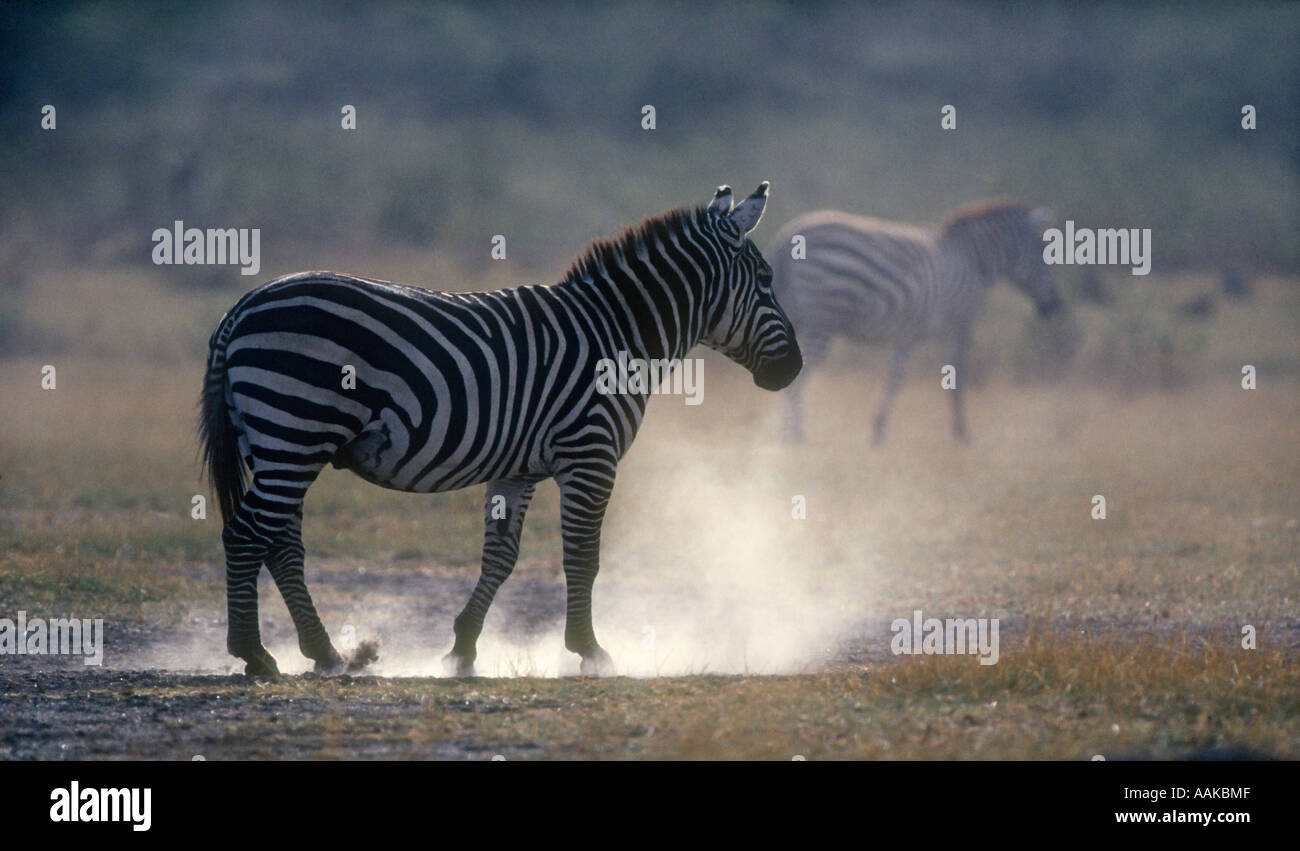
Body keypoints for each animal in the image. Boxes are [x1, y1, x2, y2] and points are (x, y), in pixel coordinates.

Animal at [198, 182, 801, 678]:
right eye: (768, 281)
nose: (792, 369)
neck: (617, 333)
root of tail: (241, 307)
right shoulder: (590, 453)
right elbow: (583, 554)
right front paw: (589, 650)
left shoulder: (519, 468)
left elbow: (502, 557)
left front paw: (462, 648)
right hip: (294, 429)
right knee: (246, 534)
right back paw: (255, 654)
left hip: (276, 443)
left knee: (281, 544)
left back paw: (323, 652)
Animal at [770, 201, 1061, 443]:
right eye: (1046, 255)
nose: (1056, 308)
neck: (974, 260)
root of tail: (787, 236)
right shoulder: (962, 323)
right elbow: (958, 376)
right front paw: (962, 432)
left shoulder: (908, 333)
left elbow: (897, 377)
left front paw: (879, 429)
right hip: (822, 319)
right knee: (799, 377)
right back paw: (796, 435)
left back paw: (784, 433)